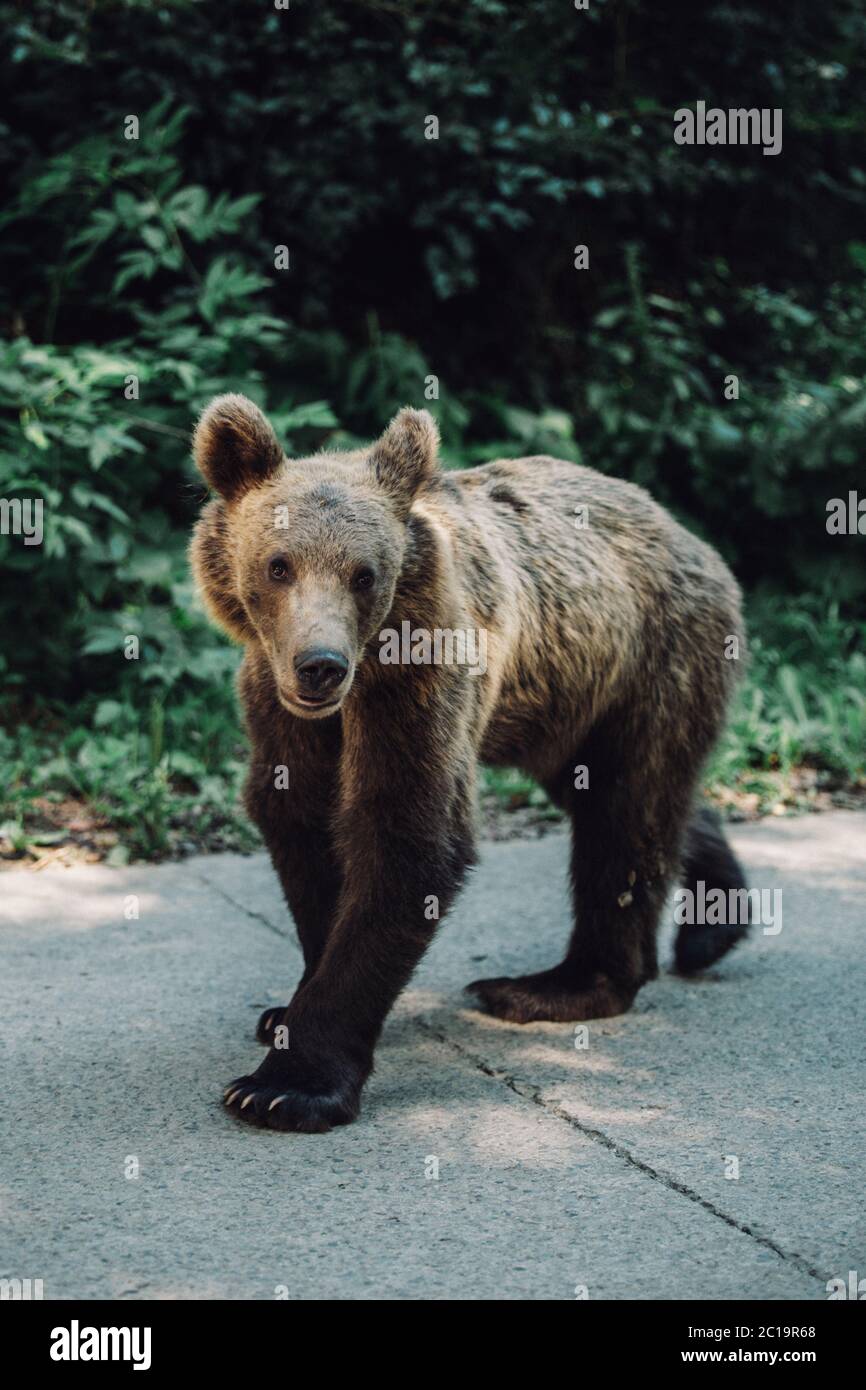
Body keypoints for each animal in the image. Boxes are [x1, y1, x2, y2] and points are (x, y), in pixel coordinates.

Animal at [190, 393, 750, 1133]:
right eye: (278, 565)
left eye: (365, 574)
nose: (320, 665)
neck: (358, 682)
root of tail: (694, 539)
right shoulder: (274, 697)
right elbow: (299, 818)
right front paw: (286, 1008)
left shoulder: (421, 673)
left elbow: (409, 834)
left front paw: (287, 1085)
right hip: (566, 705)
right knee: (639, 797)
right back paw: (714, 926)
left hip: (649, 658)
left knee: (625, 809)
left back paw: (555, 985)